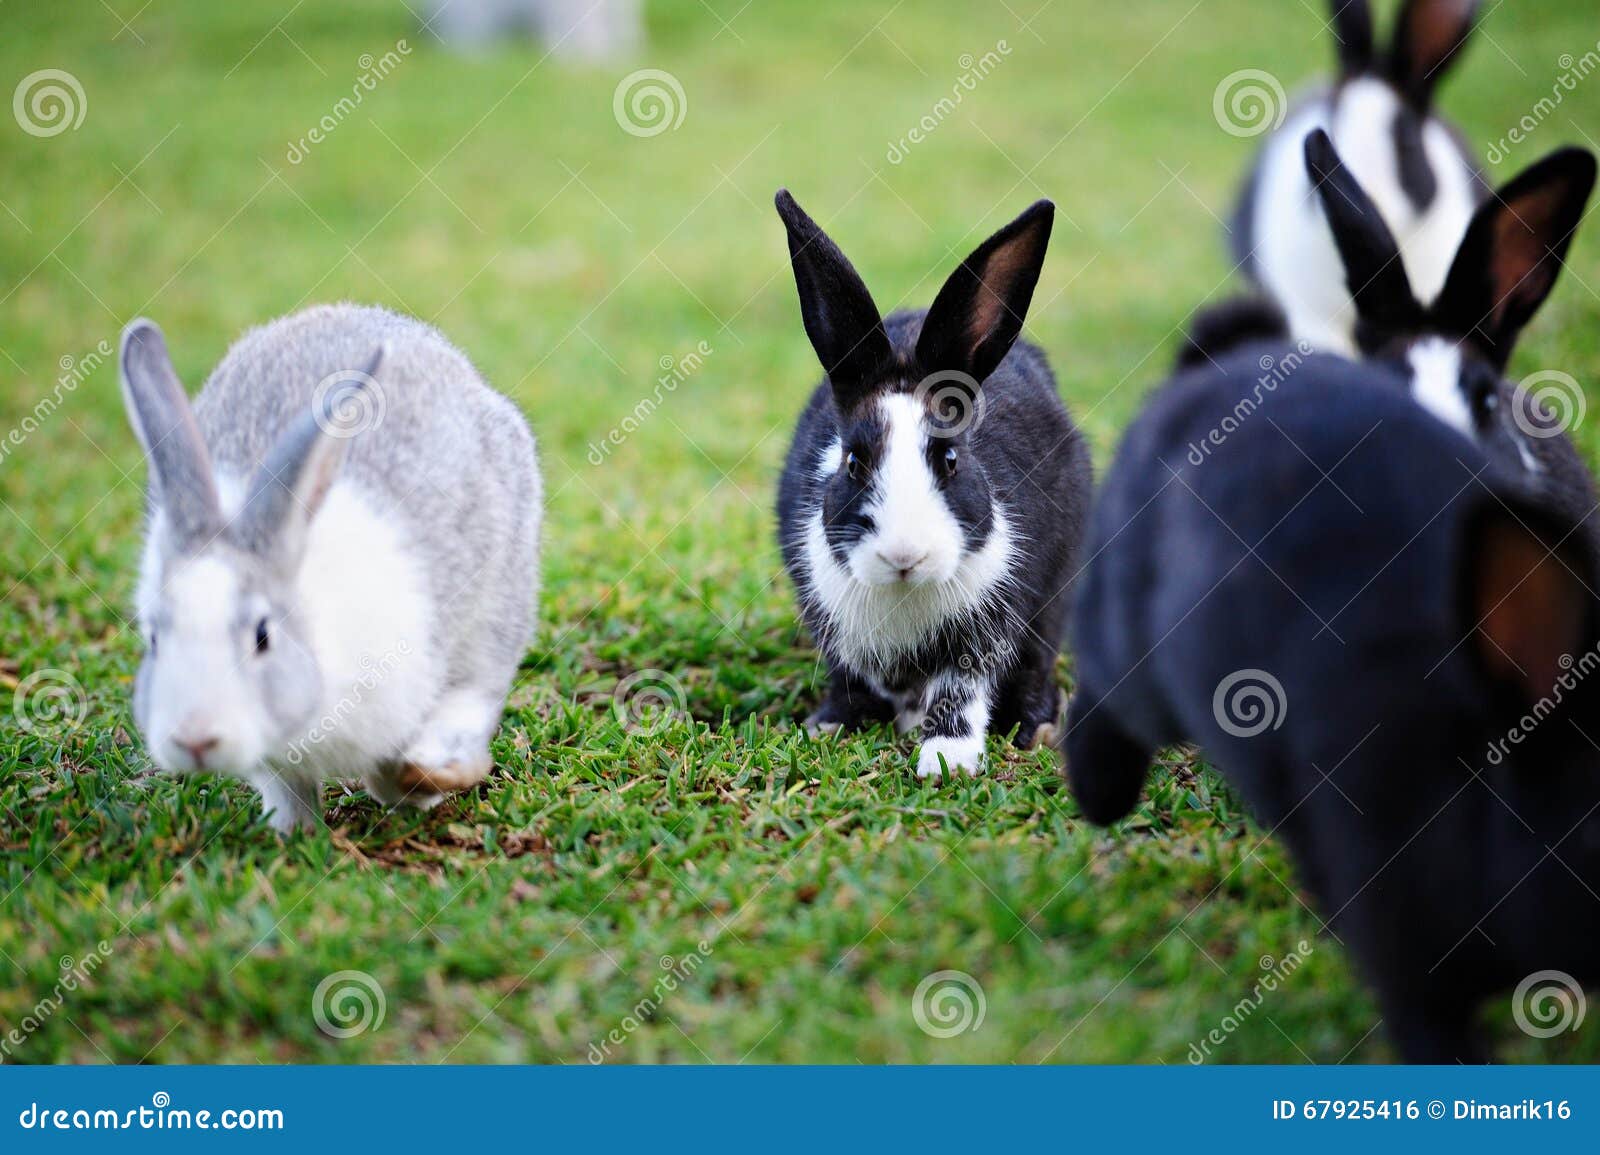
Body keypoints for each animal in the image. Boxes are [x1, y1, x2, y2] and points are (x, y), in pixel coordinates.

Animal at [118, 303, 542, 833]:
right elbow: (291, 792)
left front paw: (423, 782)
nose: (194, 738)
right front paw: (296, 833)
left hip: (495, 608)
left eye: (263, 636)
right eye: (154, 638)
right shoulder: (273, 763)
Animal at [773, 191, 1091, 780]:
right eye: (853, 462)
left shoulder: (986, 628)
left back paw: (1036, 728)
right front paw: (829, 727)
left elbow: (961, 689)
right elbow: (850, 680)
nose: (905, 555)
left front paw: (946, 758)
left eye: (949, 459)